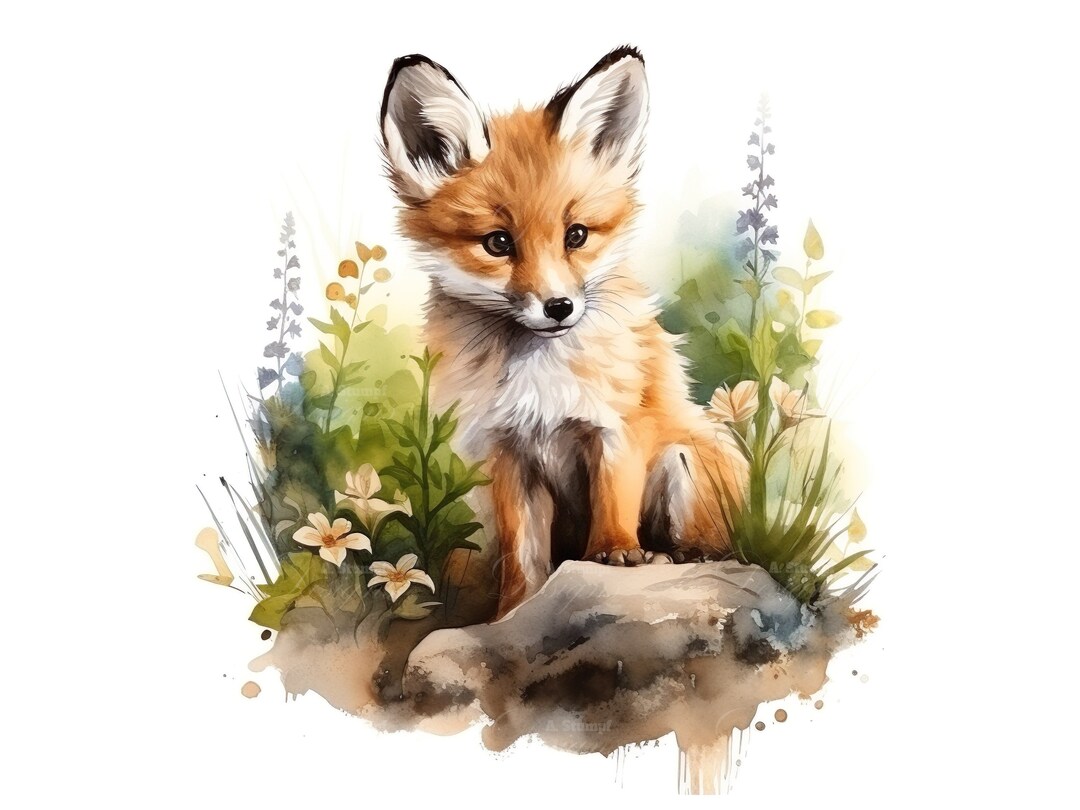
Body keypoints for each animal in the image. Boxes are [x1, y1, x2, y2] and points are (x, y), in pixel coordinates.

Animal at [380, 46, 749, 619]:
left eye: (576, 235)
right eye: (498, 243)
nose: (558, 307)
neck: (541, 382)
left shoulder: (618, 428)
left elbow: (613, 507)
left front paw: (617, 553)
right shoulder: (508, 454)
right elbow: (523, 557)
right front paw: (511, 614)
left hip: (684, 463)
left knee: (712, 549)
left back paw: (670, 556)